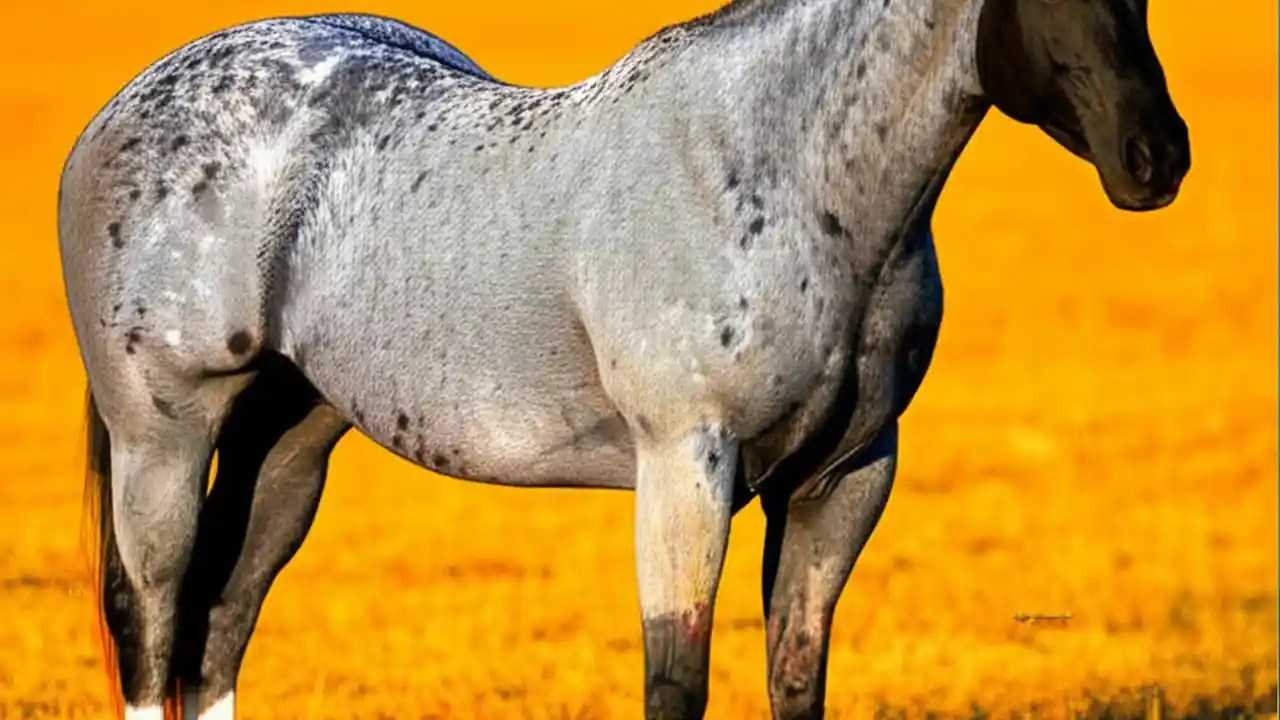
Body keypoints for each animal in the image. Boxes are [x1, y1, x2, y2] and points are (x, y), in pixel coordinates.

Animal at [58, 0, 1189, 717]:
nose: (1157, 157)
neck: (780, 174)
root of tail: (125, 105)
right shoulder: (684, 466)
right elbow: (674, 682)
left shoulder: (844, 479)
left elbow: (795, 677)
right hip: (160, 441)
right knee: (153, 629)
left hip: (289, 442)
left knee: (219, 624)